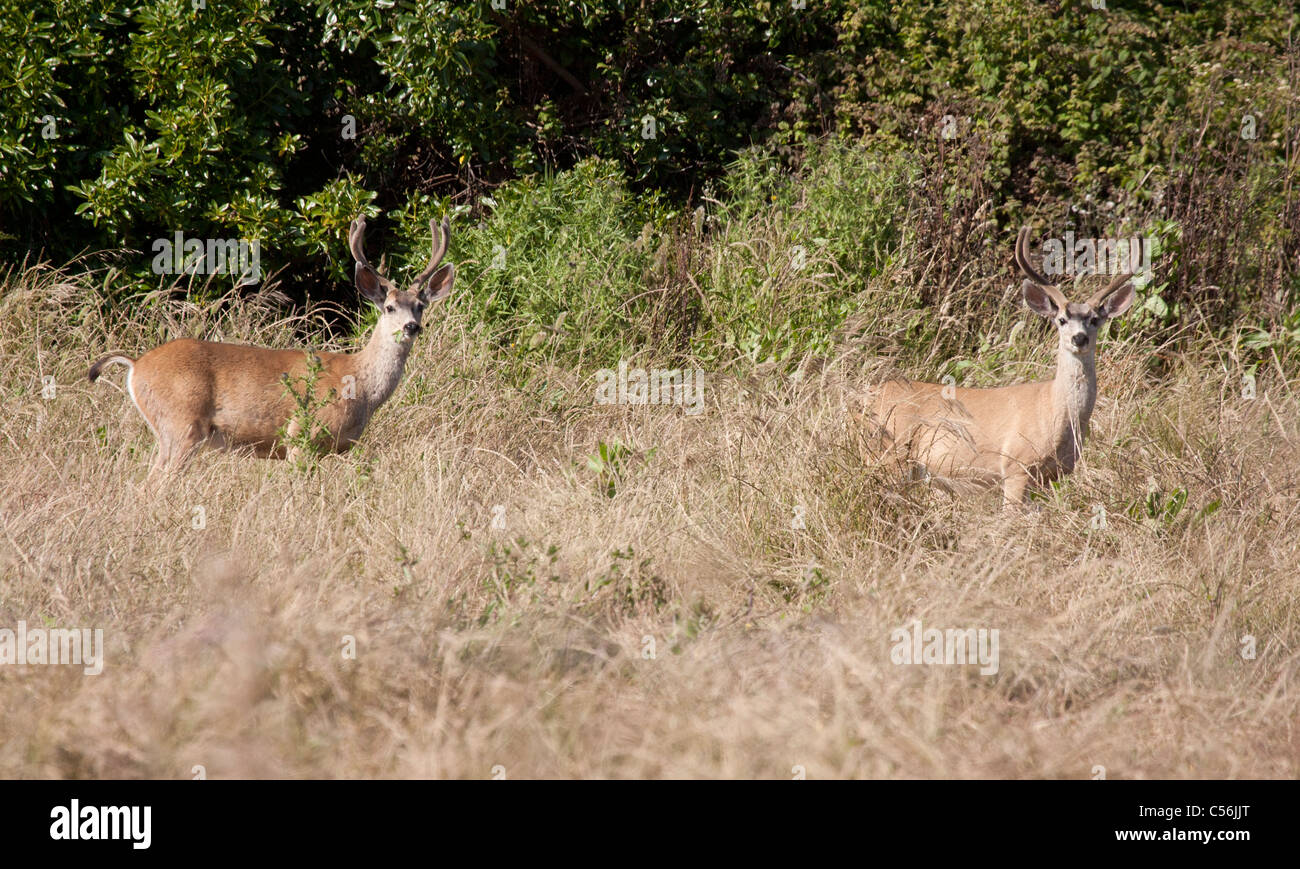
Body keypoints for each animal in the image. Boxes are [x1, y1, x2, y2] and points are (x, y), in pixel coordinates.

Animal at [88, 216, 455, 472]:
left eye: (420, 306)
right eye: (389, 306)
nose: (411, 326)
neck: (358, 382)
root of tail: (136, 365)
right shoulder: (301, 437)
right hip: (180, 423)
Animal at [870, 226, 1139, 509]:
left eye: (1096, 319)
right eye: (1061, 320)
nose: (1079, 338)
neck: (1055, 410)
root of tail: (873, 395)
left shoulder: (1052, 478)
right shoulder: (1016, 466)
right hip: (889, 454)